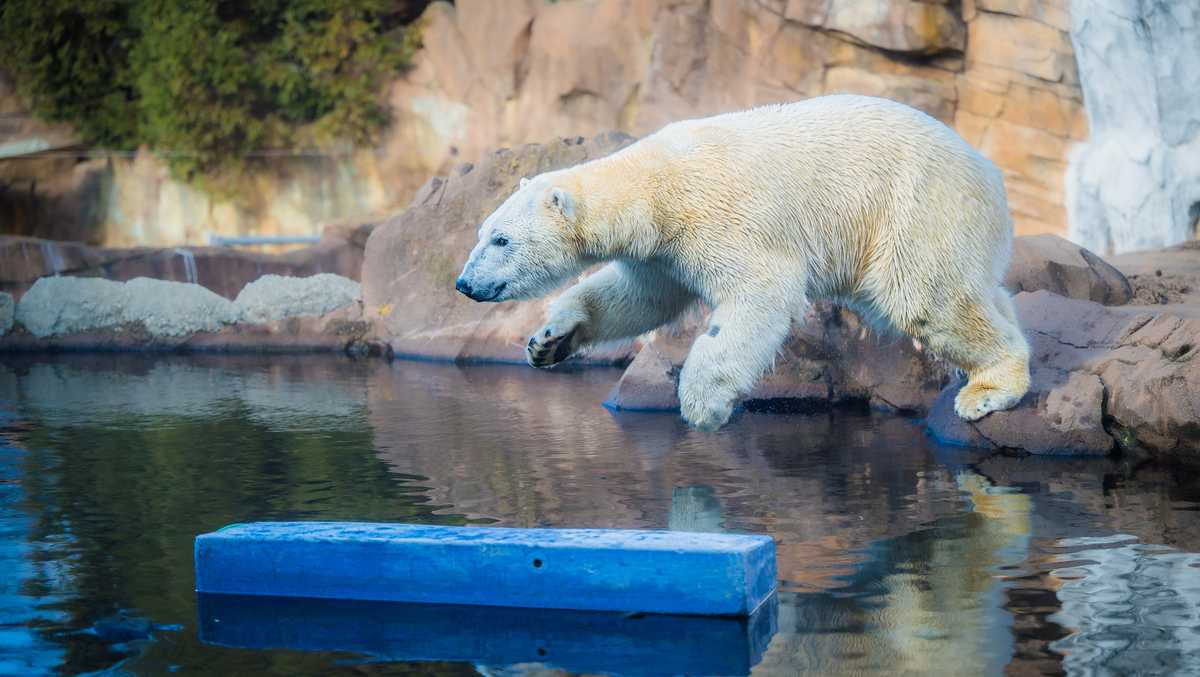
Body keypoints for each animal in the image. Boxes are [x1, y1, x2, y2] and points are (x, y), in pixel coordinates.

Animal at [455, 95, 1030, 431]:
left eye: (501, 240)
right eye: (482, 233)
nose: (463, 283)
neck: (653, 185)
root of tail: (989, 172)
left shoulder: (719, 217)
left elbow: (760, 293)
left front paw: (702, 404)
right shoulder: (661, 251)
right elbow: (636, 299)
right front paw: (548, 339)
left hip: (914, 205)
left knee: (926, 299)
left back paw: (988, 388)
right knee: (974, 289)